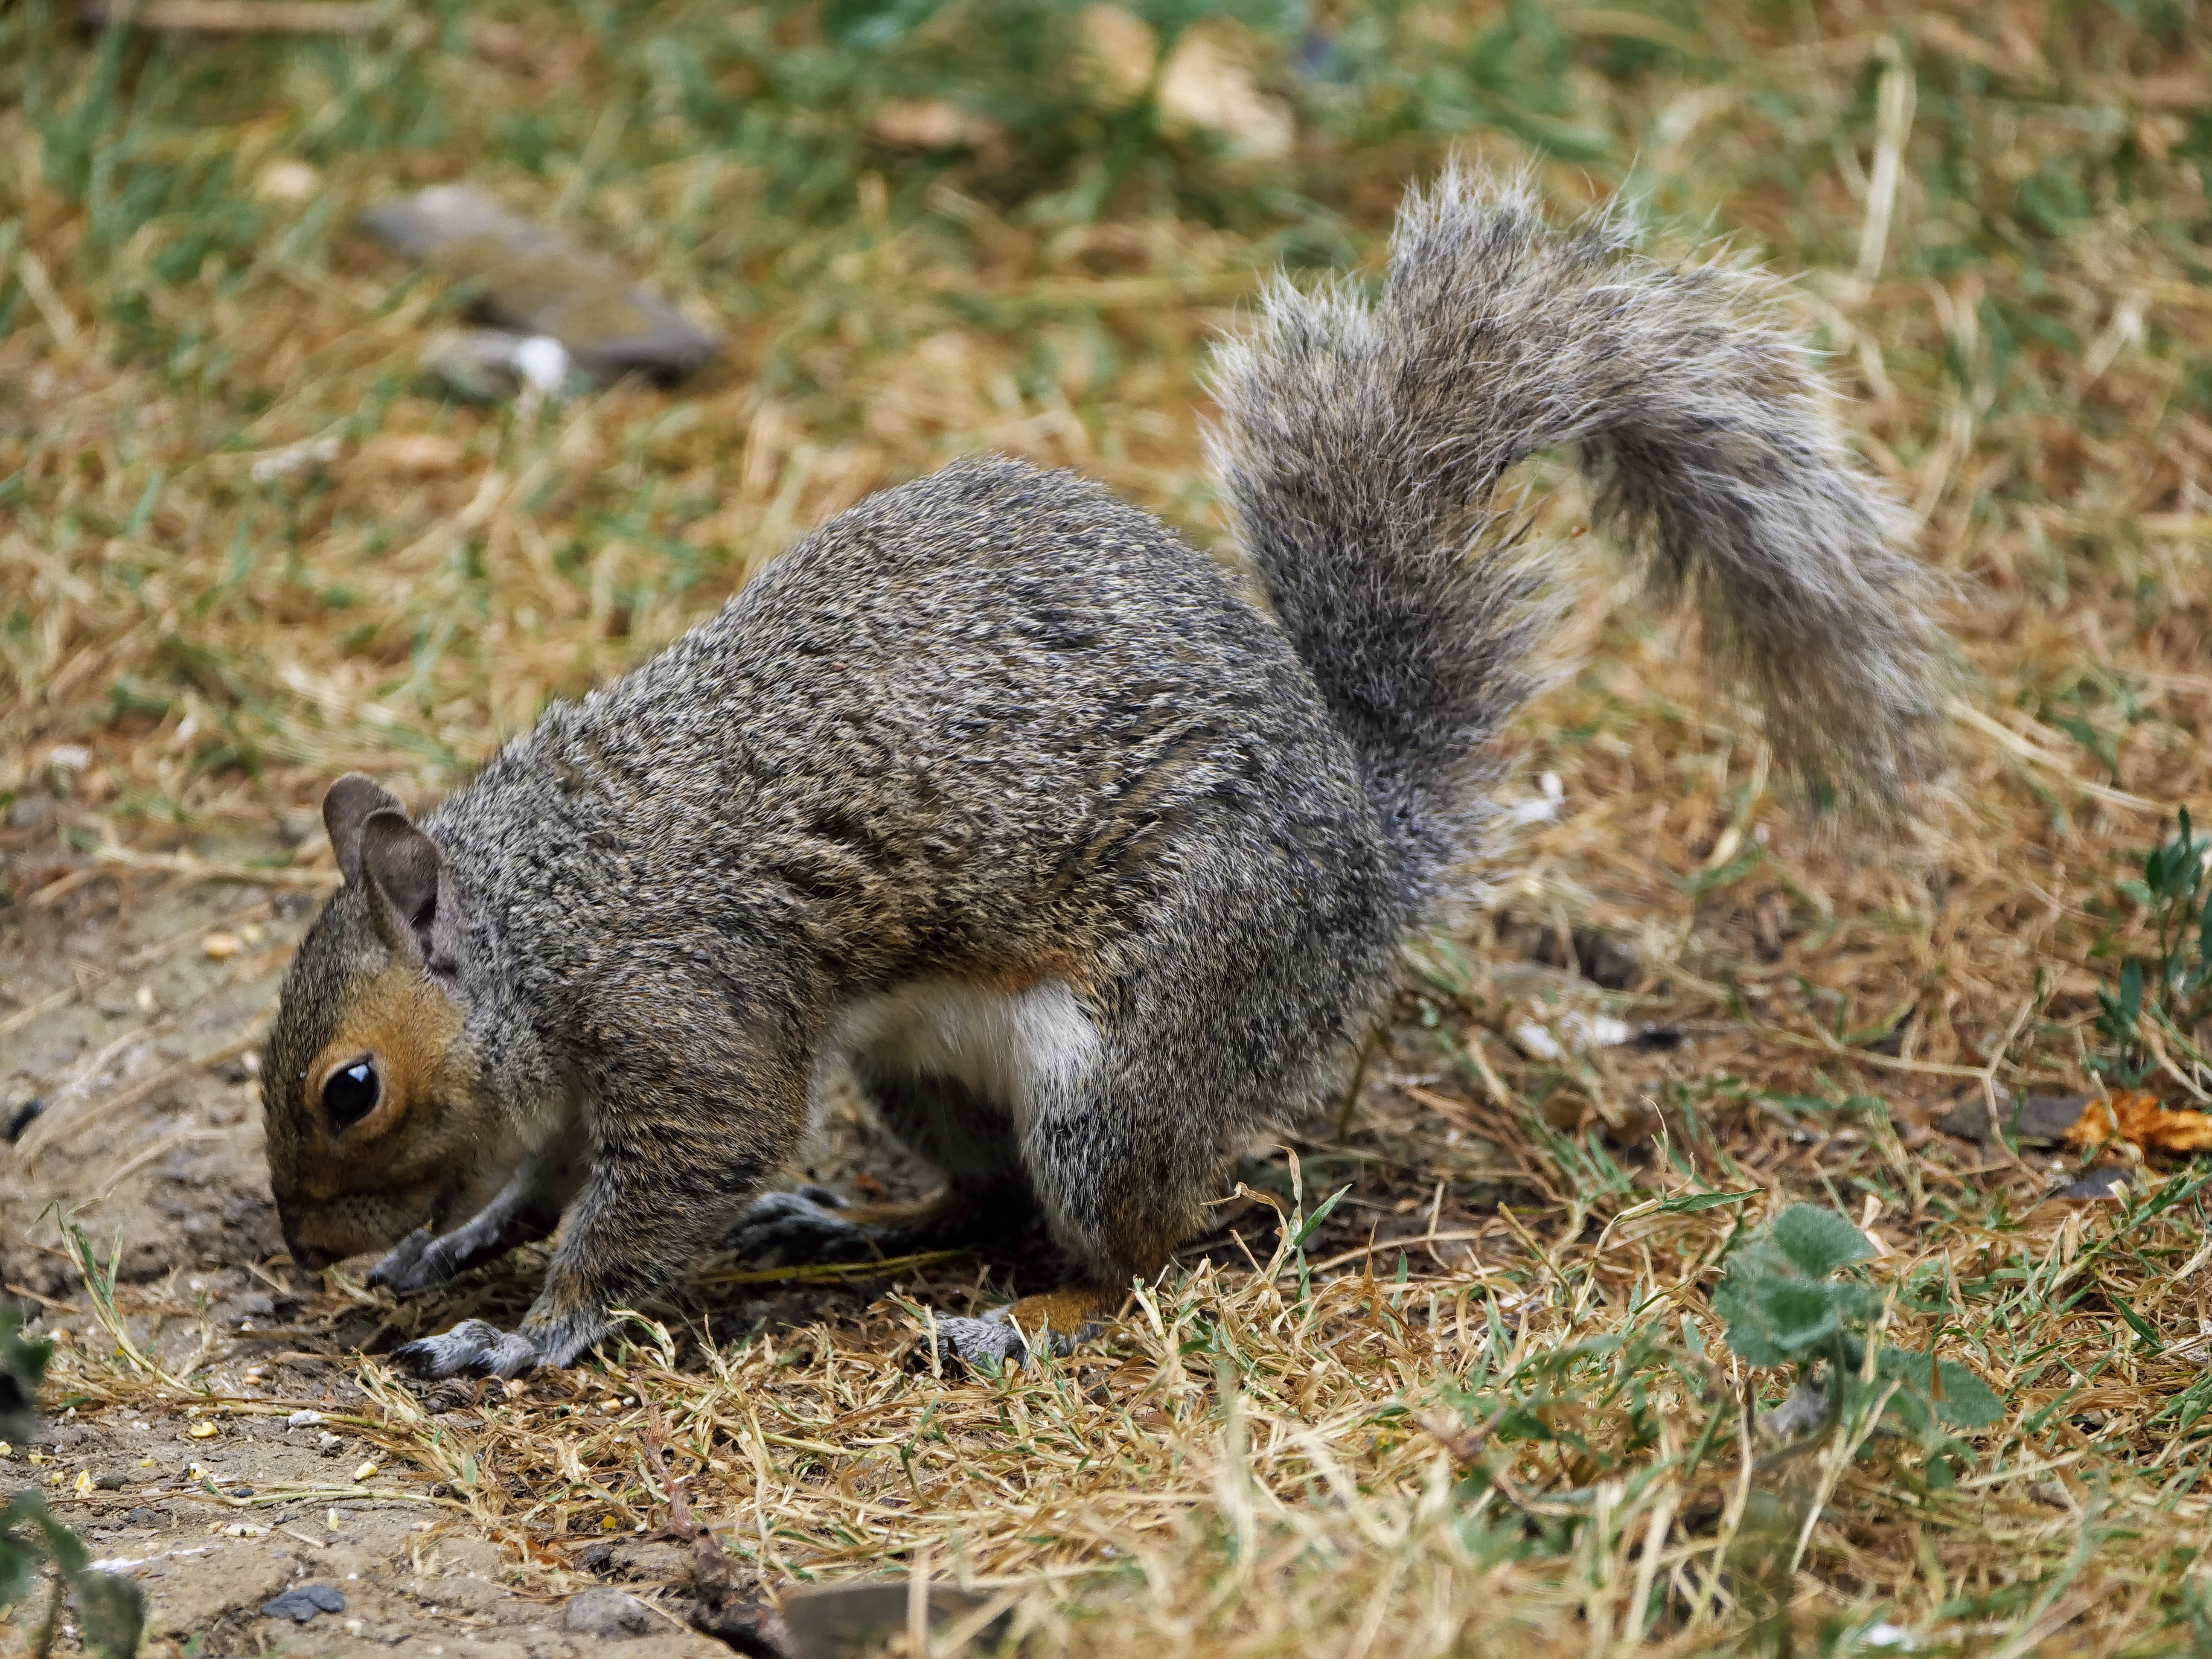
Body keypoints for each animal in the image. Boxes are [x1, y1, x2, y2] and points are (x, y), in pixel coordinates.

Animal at [261, 165, 1944, 1378]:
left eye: (350, 1089)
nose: (303, 1250)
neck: (545, 913)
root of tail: (1368, 850)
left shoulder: (689, 1008)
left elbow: (665, 1184)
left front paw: (522, 1328)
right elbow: (543, 1174)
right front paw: (455, 1245)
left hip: (1131, 1054)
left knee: (1137, 1255)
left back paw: (1028, 1320)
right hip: (920, 1061)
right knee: (990, 1193)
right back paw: (857, 1220)